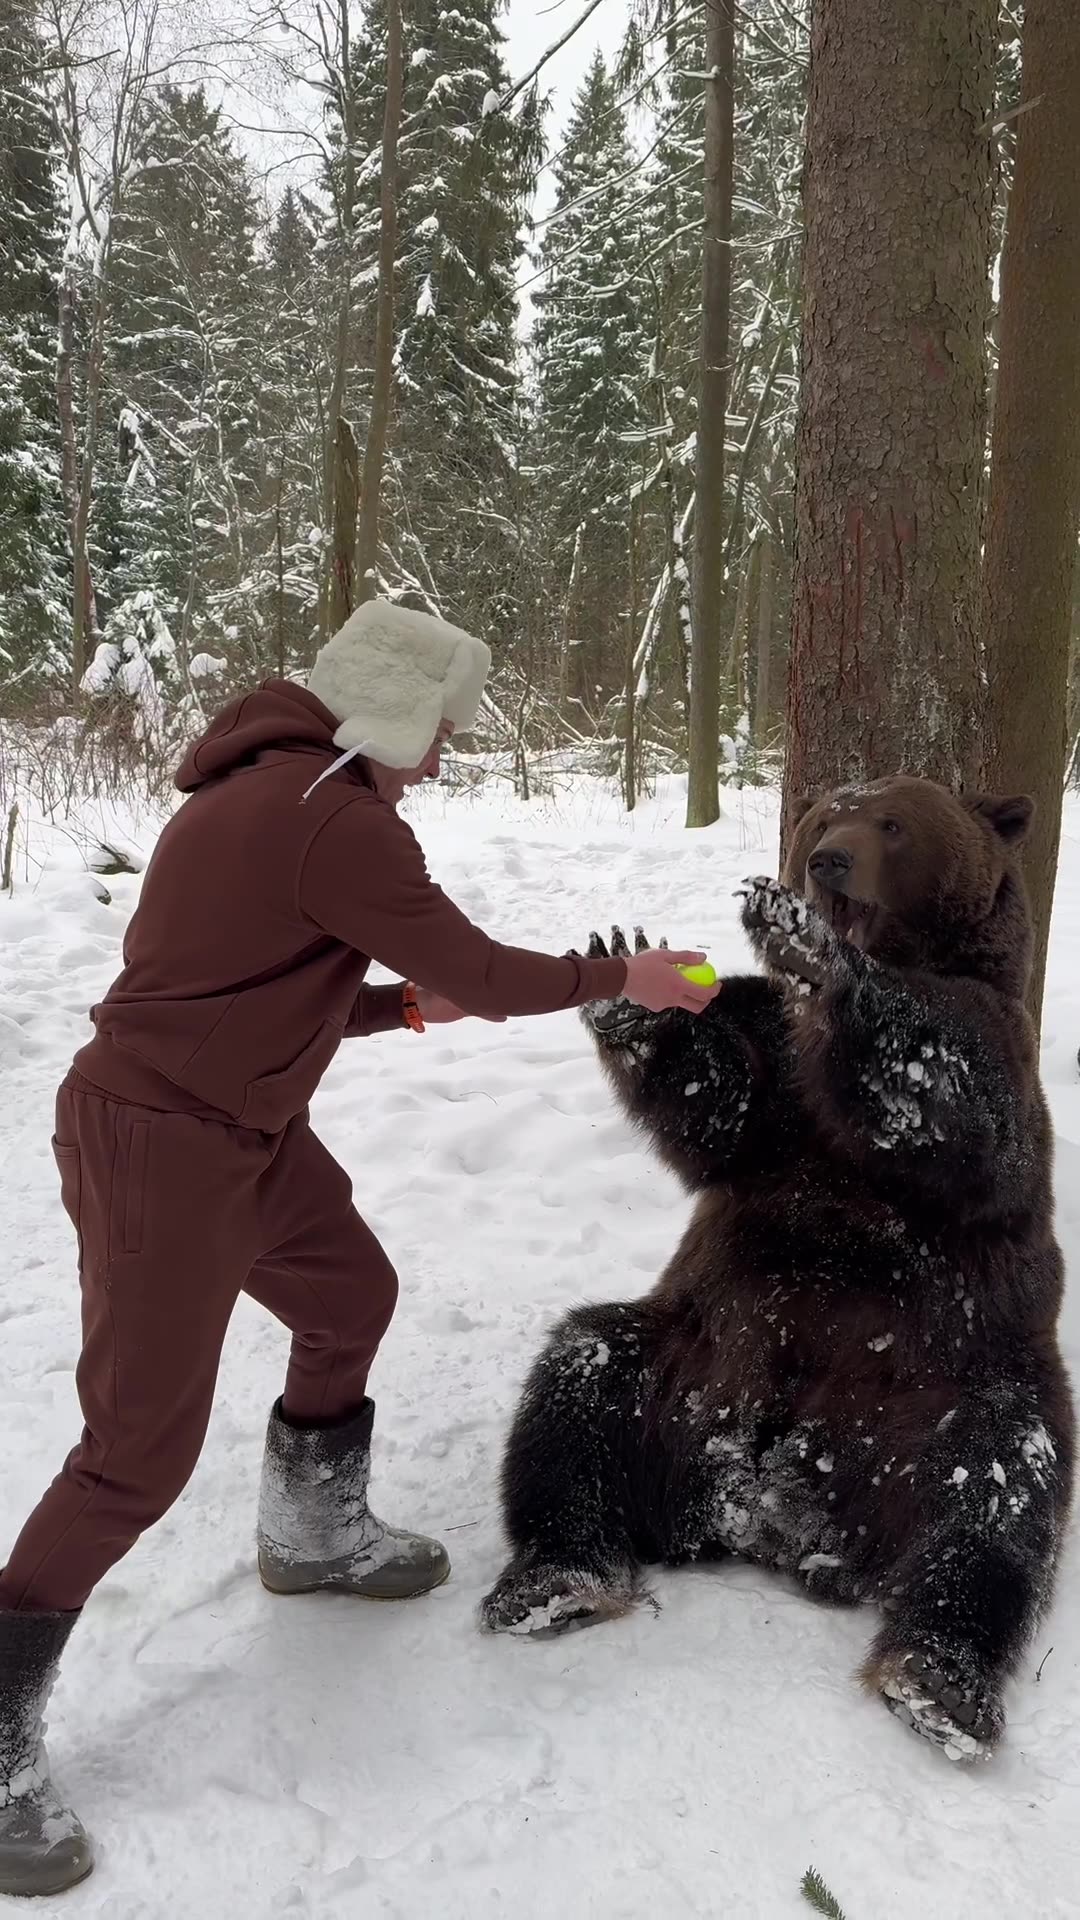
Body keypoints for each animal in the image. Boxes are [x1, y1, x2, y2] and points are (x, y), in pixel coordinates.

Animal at [480, 775, 1075, 1764]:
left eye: (892, 822)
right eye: (828, 812)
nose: (826, 860)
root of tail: (771, 1511)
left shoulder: (992, 1037)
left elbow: (960, 1114)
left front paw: (809, 941)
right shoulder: (770, 1071)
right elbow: (720, 1113)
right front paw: (633, 984)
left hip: (955, 1384)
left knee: (994, 1495)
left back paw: (939, 1681)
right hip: (683, 1369)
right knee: (579, 1383)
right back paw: (553, 1578)